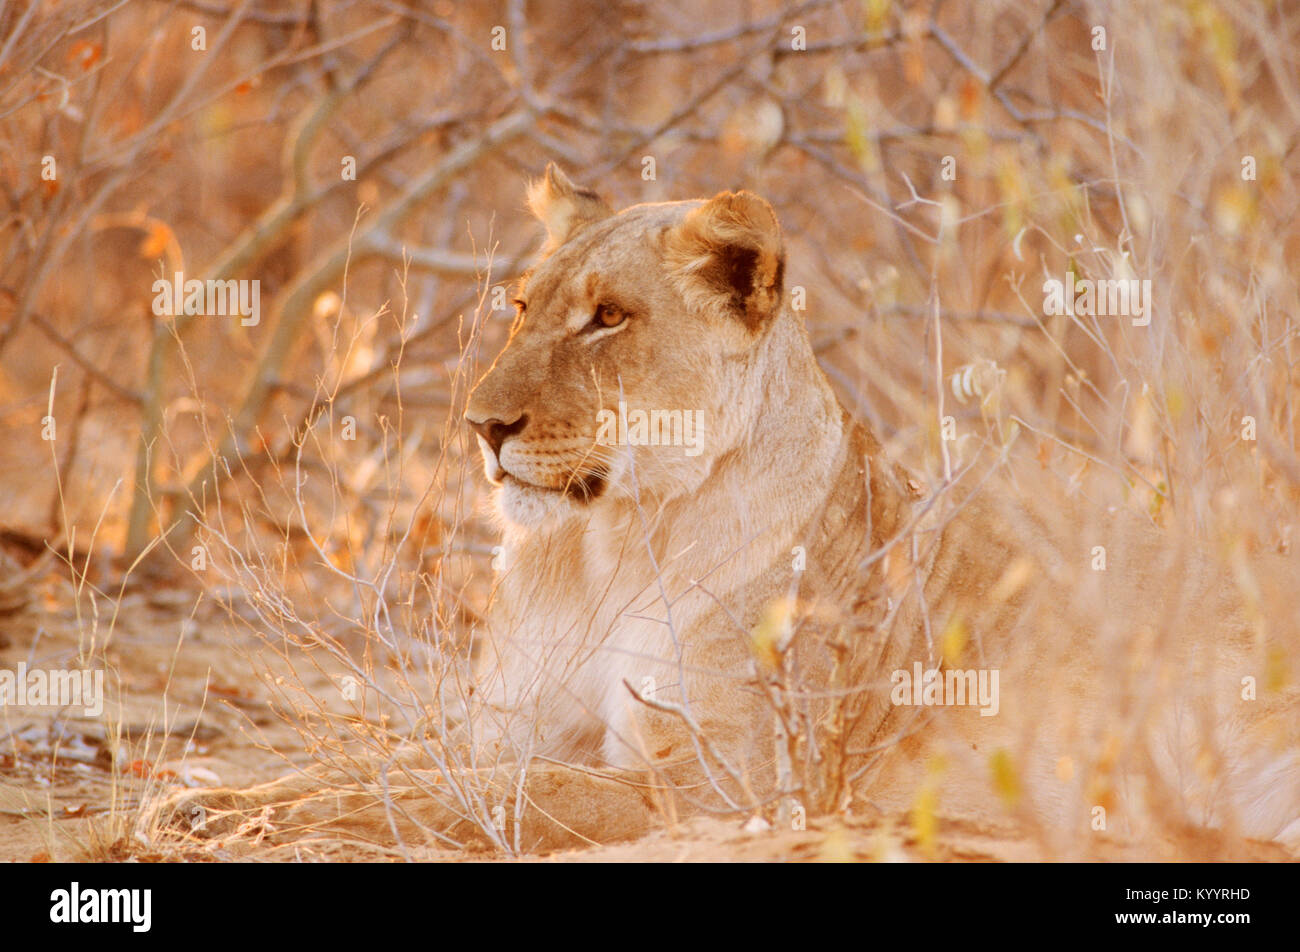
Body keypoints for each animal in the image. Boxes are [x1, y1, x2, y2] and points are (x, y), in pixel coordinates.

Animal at [146, 165, 1300, 857]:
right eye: (521, 306)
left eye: (609, 319)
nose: (481, 424)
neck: (602, 547)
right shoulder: (512, 729)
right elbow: (387, 766)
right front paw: (211, 799)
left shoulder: (712, 787)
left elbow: (484, 798)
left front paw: (261, 821)